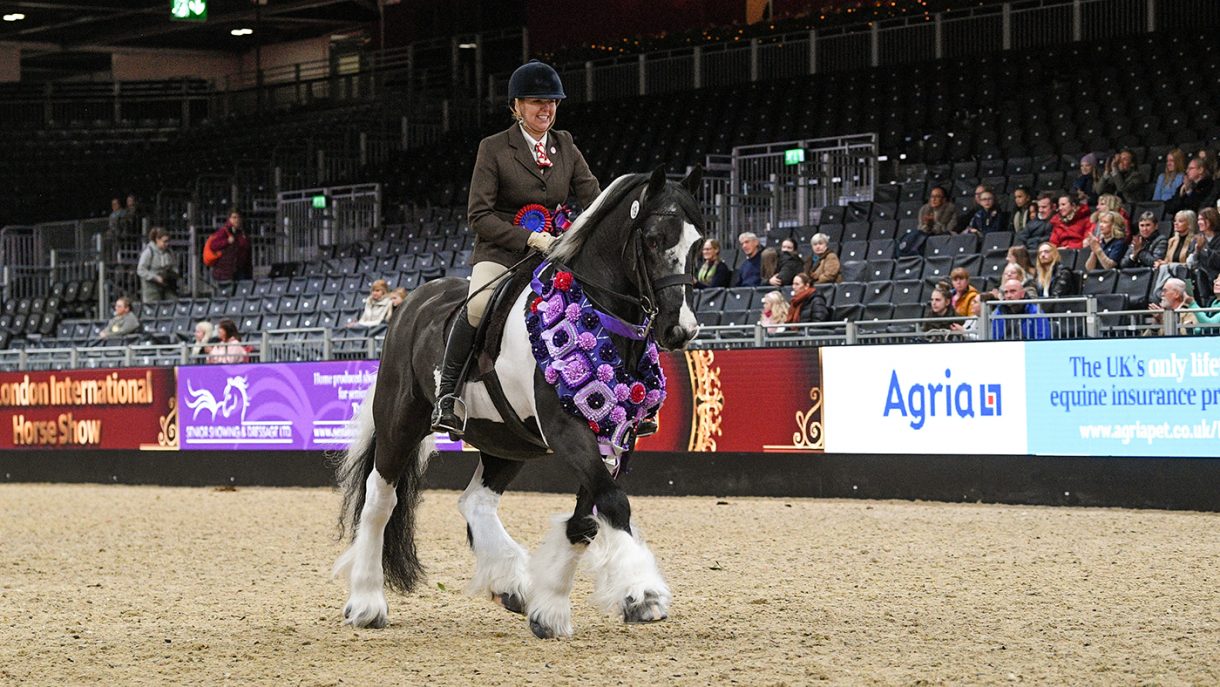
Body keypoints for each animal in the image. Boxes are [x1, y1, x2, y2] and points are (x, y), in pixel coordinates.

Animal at [332, 165, 704, 639]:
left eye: (697, 243)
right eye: (654, 239)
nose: (681, 331)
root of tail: (412, 302)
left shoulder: (617, 437)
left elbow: (587, 518)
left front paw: (550, 610)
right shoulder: (568, 432)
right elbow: (614, 503)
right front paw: (642, 592)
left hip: (507, 439)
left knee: (476, 501)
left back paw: (511, 583)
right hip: (401, 421)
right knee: (380, 501)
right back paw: (366, 603)